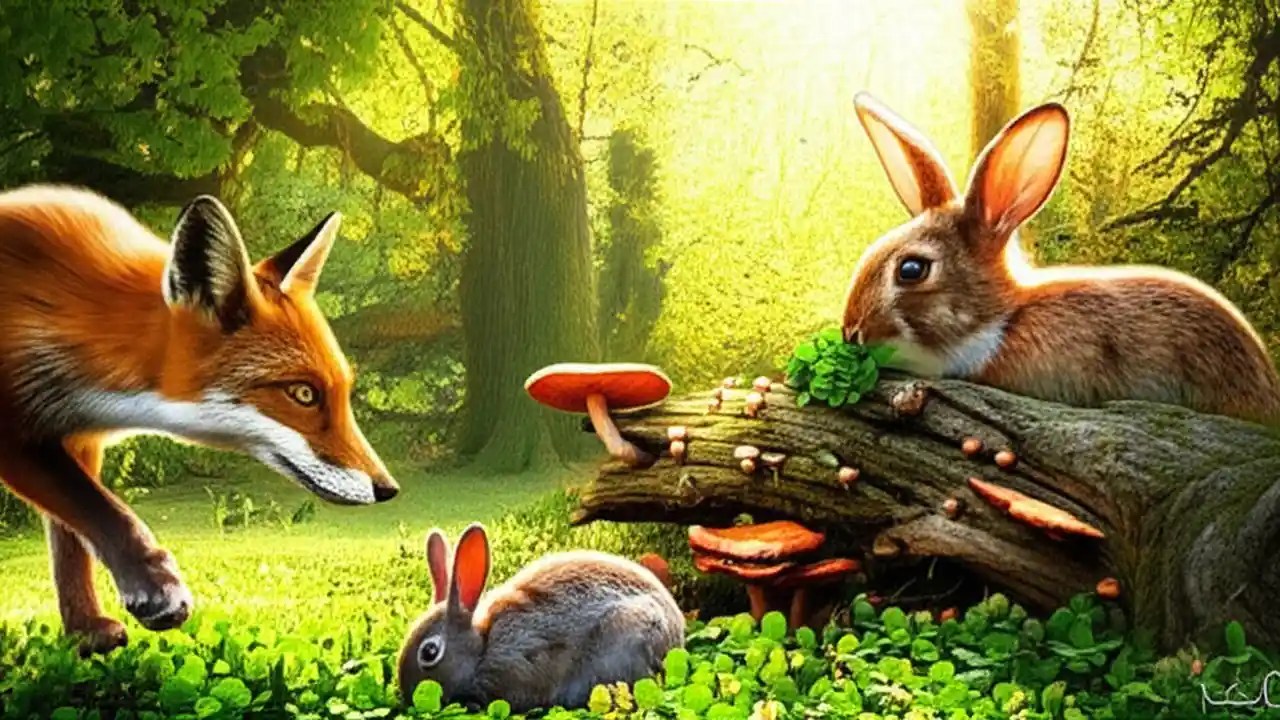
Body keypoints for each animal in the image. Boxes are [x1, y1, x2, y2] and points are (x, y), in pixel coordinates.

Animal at [0, 185, 399, 653]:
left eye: (342, 392)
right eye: (304, 393)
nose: (388, 489)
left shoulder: (79, 435)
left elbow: (72, 543)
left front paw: (86, 629)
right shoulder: (17, 428)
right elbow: (100, 509)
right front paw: (154, 587)